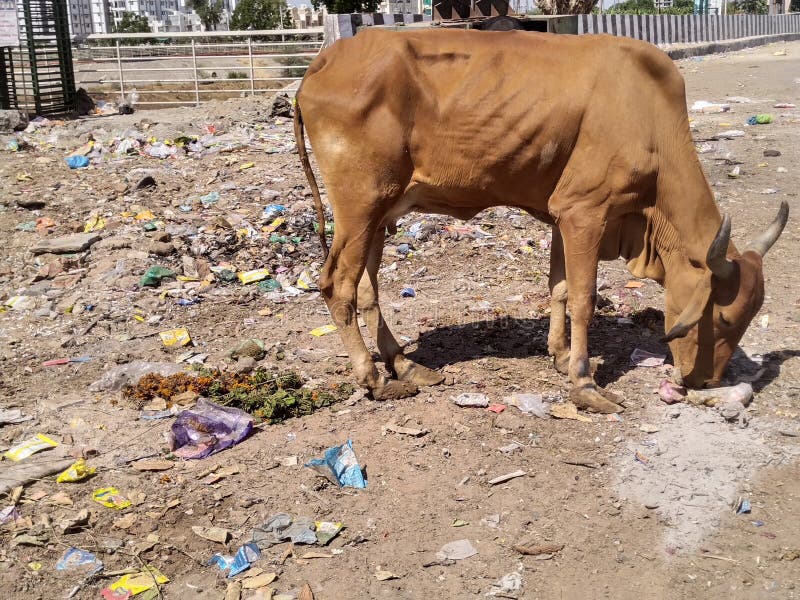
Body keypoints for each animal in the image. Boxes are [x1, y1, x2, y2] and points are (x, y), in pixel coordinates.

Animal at [293, 28, 789, 412]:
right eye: (725, 319)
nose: (707, 381)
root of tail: (322, 62)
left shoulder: (562, 214)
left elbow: (560, 288)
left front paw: (560, 355)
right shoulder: (585, 211)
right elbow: (584, 299)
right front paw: (585, 384)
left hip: (380, 211)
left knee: (366, 289)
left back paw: (406, 364)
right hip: (360, 206)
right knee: (338, 286)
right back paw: (374, 379)